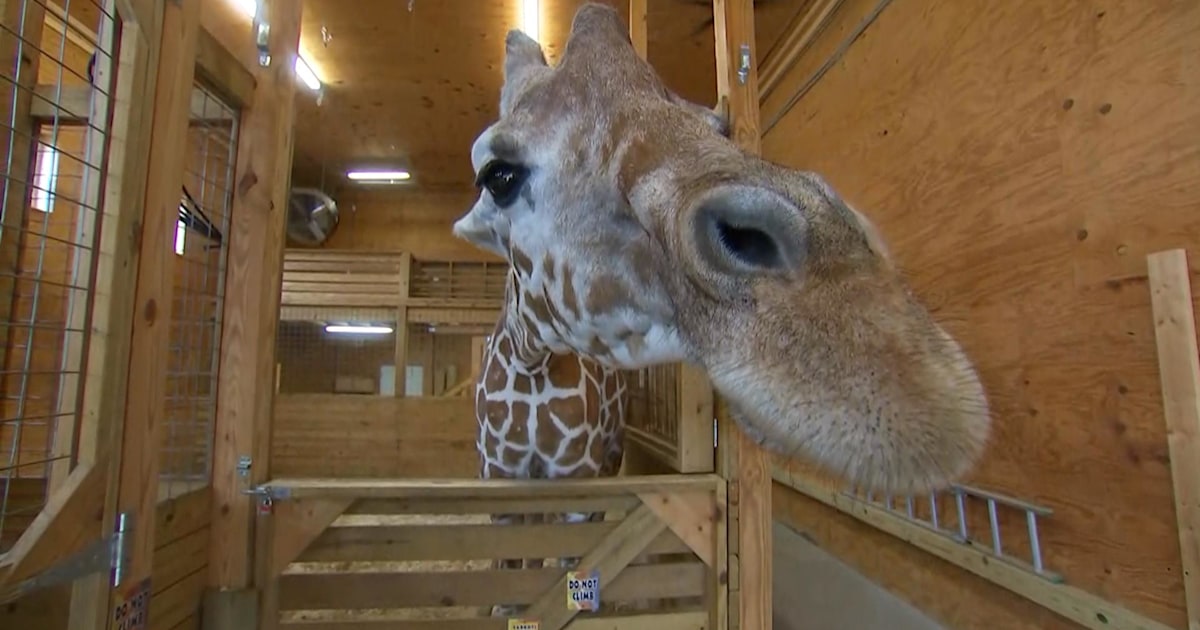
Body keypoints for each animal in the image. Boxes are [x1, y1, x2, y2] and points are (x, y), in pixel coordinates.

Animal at [453, 2, 992, 497]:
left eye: (717, 125)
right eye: (496, 175)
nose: (913, 373)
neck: (533, 367)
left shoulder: (582, 480)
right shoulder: (495, 478)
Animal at [475, 267, 627, 617]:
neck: (530, 362)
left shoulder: (575, 472)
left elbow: (569, 555)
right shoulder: (501, 472)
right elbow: (511, 555)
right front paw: (507, 609)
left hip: (609, 460)